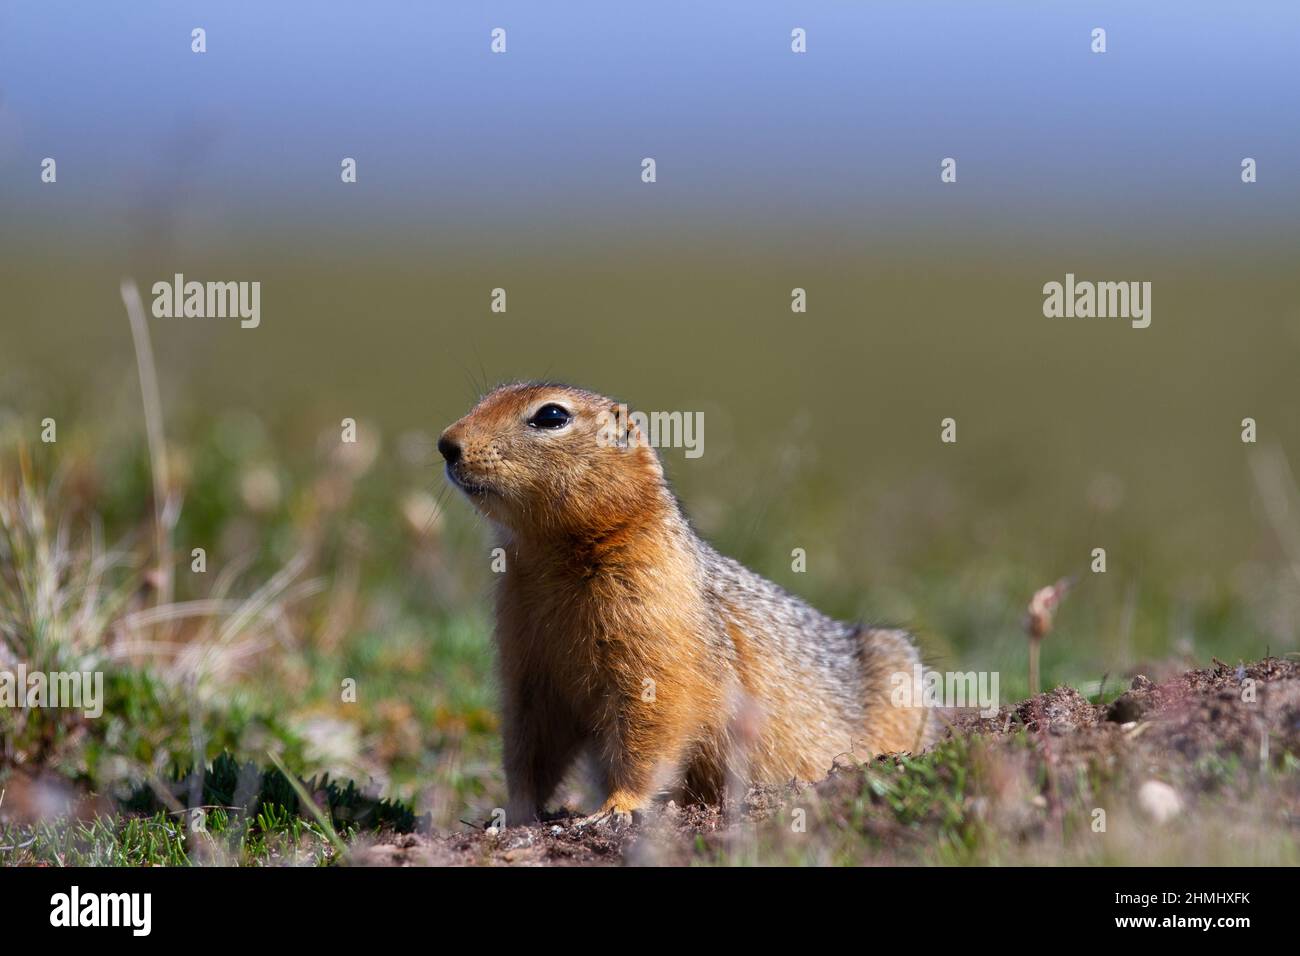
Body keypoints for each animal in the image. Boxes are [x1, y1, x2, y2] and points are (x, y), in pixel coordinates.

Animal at [438, 382, 932, 827]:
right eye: (484, 398)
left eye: (551, 415)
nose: (446, 444)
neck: (554, 557)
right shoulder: (523, 645)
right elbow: (529, 734)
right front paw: (514, 811)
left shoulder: (653, 609)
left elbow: (653, 715)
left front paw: (617, 807)